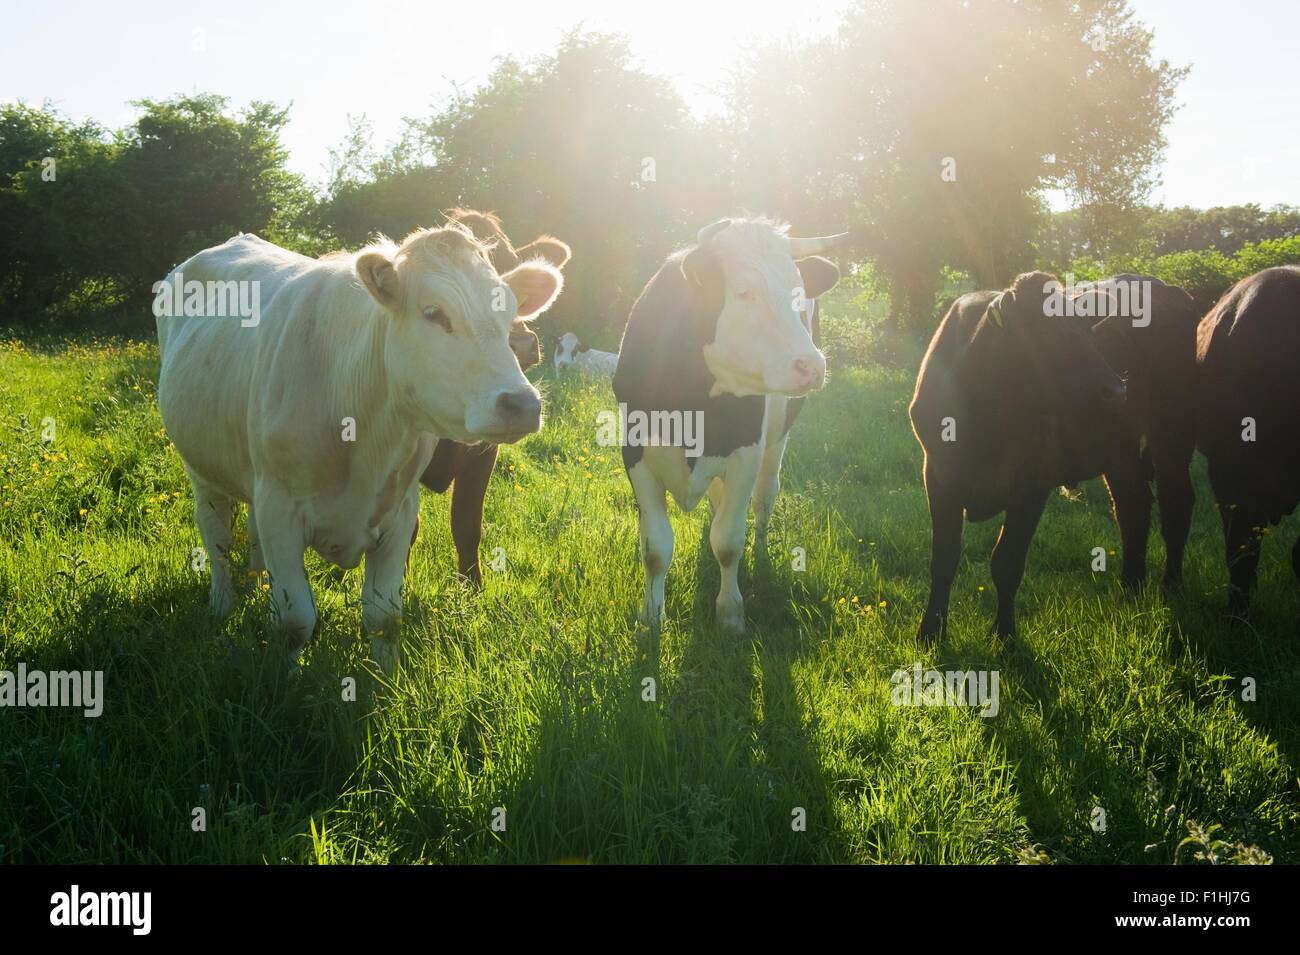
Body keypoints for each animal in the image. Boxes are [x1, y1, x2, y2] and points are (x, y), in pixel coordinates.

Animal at [613, 217, 845, 633]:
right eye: (742, 292)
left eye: (798, 293)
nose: (812, 365)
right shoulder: (635, 454)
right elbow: (655, 547)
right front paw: (651, 616)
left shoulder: (745, 454)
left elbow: (728, 541)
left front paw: (730, 614)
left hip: (776, 442)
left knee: (765, 497)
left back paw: (762, 552)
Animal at [908, 270, 1179, 643]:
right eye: (1046, 332)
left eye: (1088, 333)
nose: (1117, 390)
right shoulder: (937, 476)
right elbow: (944, 559)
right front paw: (931, 631)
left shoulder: (1033, 483)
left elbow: (1007, 563)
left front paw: (1005, 634)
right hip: (1119, 453)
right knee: (1132, 508)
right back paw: (1130, 591)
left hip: (1172, 436)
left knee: (1176, 505)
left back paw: (1171, 588)